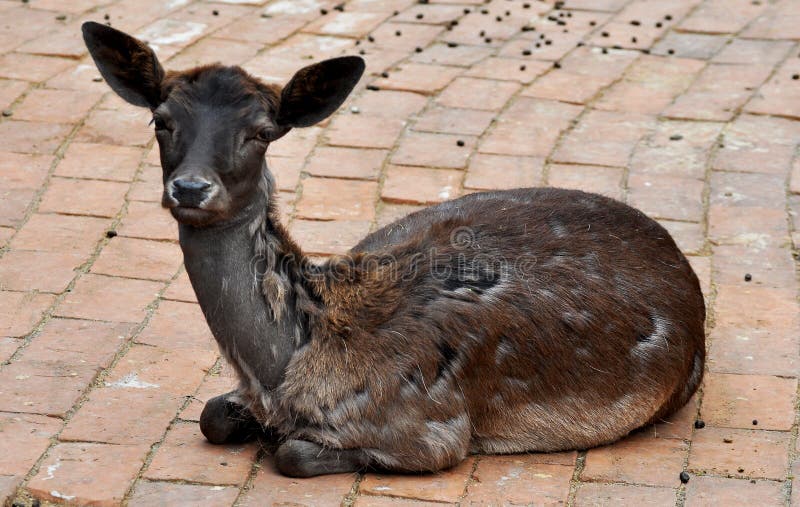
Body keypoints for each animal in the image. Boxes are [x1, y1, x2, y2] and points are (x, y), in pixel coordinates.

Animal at [82, 21, 706, 478]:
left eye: (261, 131)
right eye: (161, 120)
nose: (189, 188)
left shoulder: (430, 429)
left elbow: (291, 453)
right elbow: (212, 416)